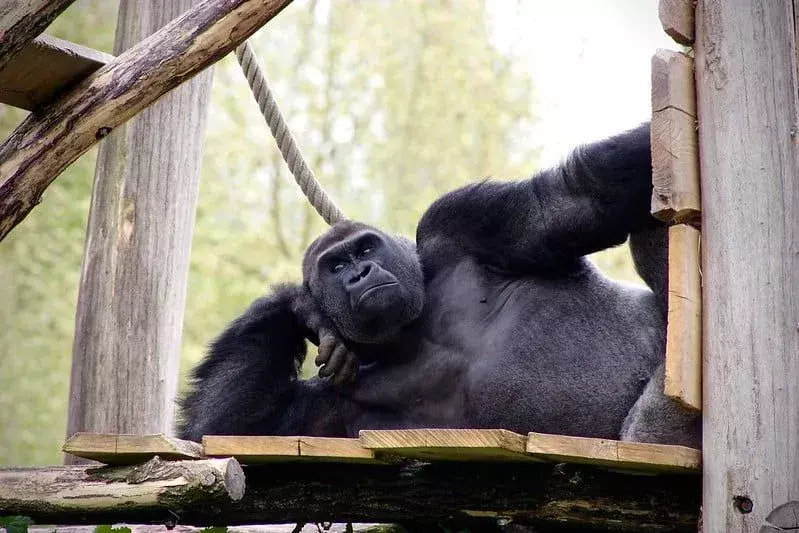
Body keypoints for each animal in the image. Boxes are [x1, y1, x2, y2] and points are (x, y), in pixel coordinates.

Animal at [180, 122, 700, 446]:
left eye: (364, 251)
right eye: (335, 267)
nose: (359, 274)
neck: (417, 326)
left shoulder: (456, 219)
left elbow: (579, 194)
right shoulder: (337, 402)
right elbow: (228, 429)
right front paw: (303, 307)